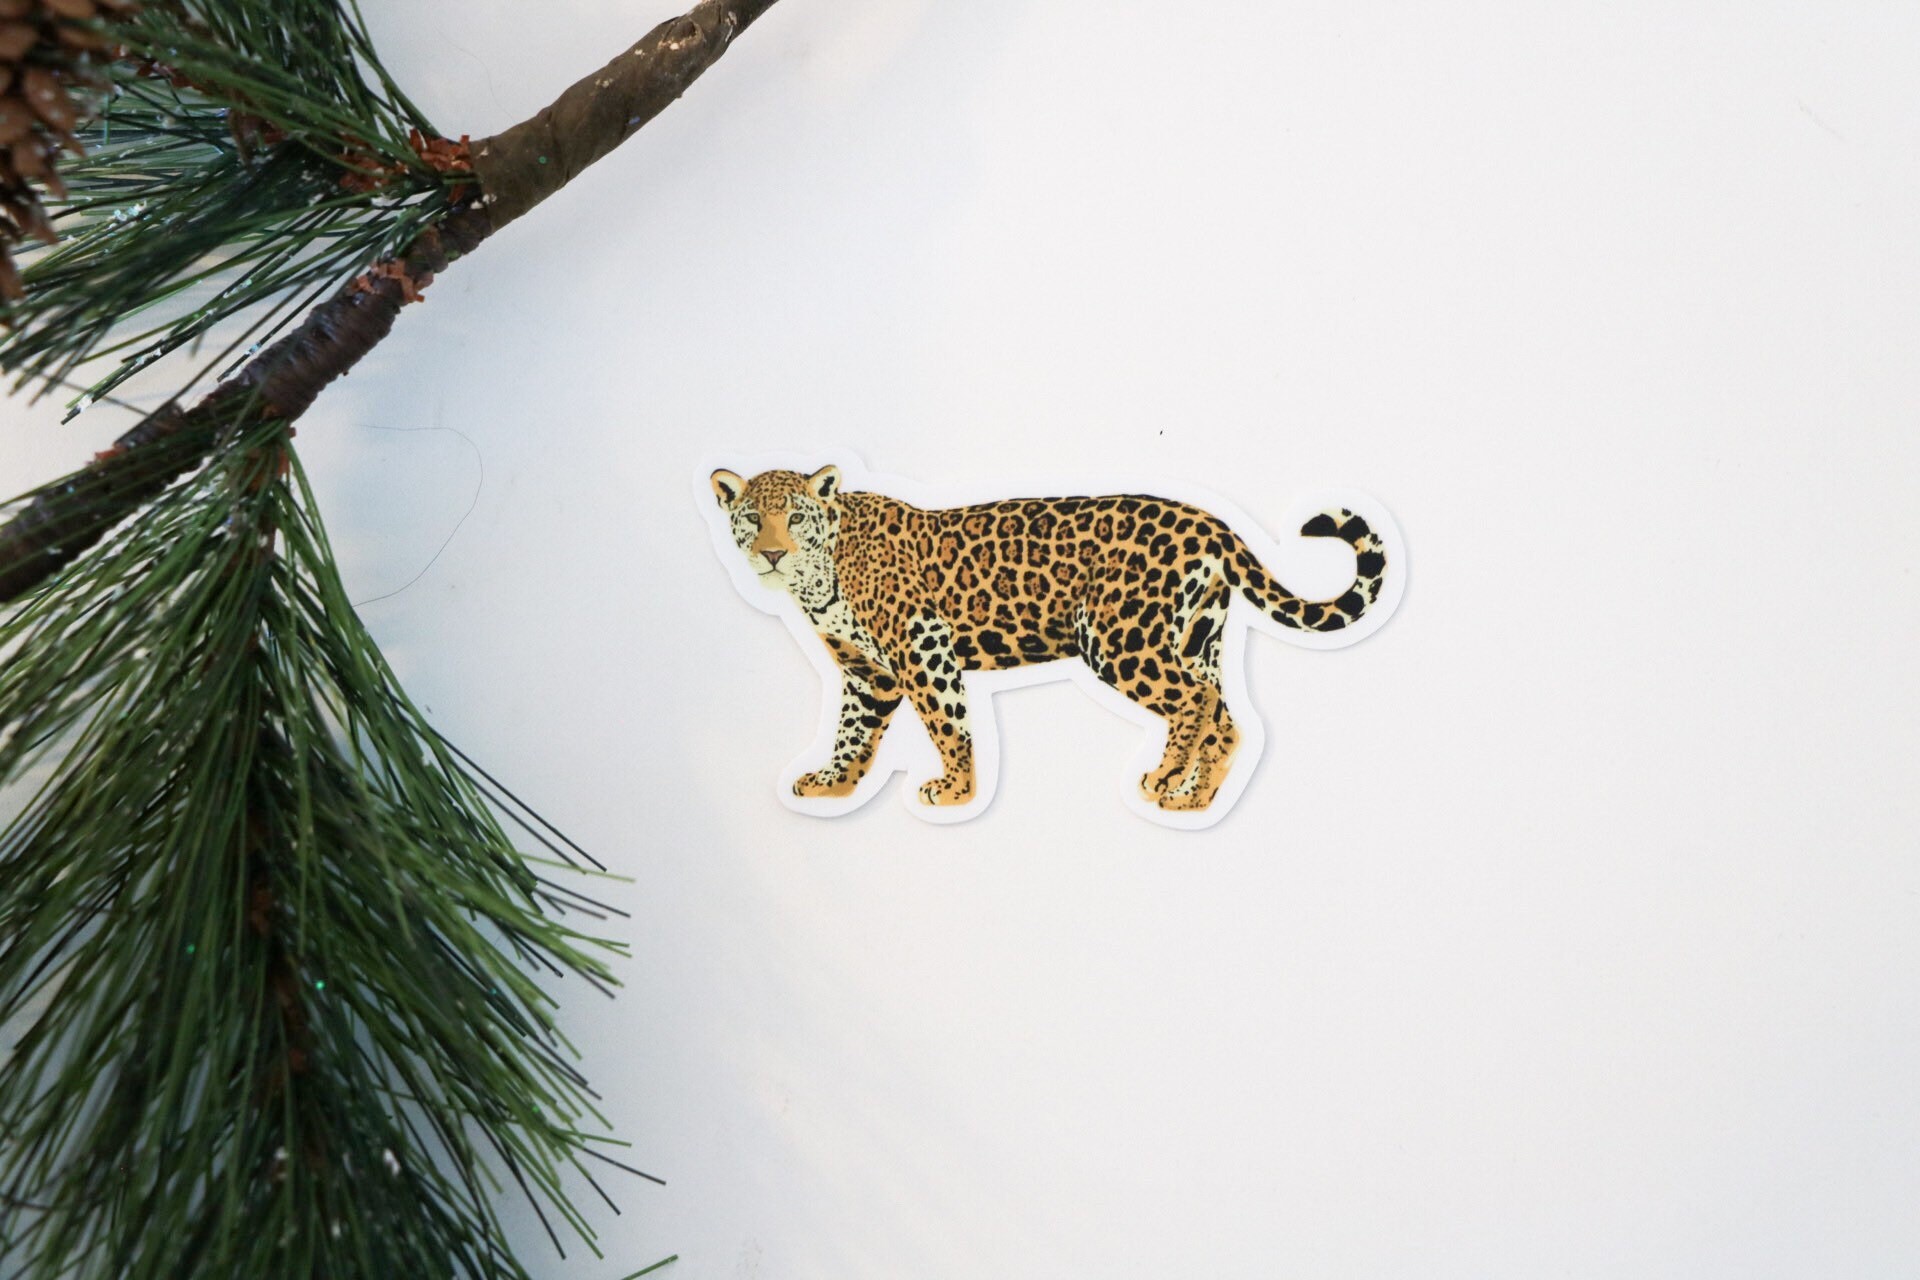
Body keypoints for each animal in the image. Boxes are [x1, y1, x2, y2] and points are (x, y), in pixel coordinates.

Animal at [709, 464, 1388, 814]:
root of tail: (1209, 522)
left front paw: (956, 790)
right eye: (753, 517)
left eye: (795, 517)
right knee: (1225, 714)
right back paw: (1193, 795)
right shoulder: (865, 671)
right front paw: (832, 783)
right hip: (1198, 635)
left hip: (1120, 638)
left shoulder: (922, 643)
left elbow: (948, 721)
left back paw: (1163, 778)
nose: (772, 553)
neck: (821, 577)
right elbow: (851, 730)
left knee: (1194, 703)